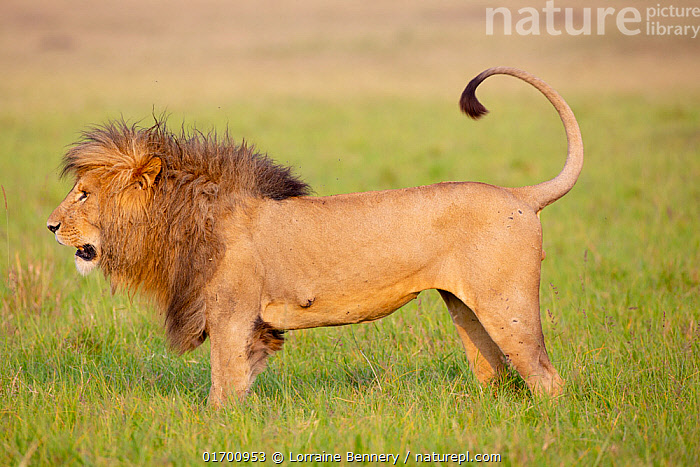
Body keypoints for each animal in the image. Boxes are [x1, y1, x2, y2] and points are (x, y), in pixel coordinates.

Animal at [47, 67, 583, 407]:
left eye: (83, 194)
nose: (50, 226)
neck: (184, 220)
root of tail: (521, 193)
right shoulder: (249, 323)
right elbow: (240, 379)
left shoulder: (231, 313)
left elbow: (223, 385)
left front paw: (216, 426)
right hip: (466, 308)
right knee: (496, 374)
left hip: (507, 305)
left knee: (546, 378)